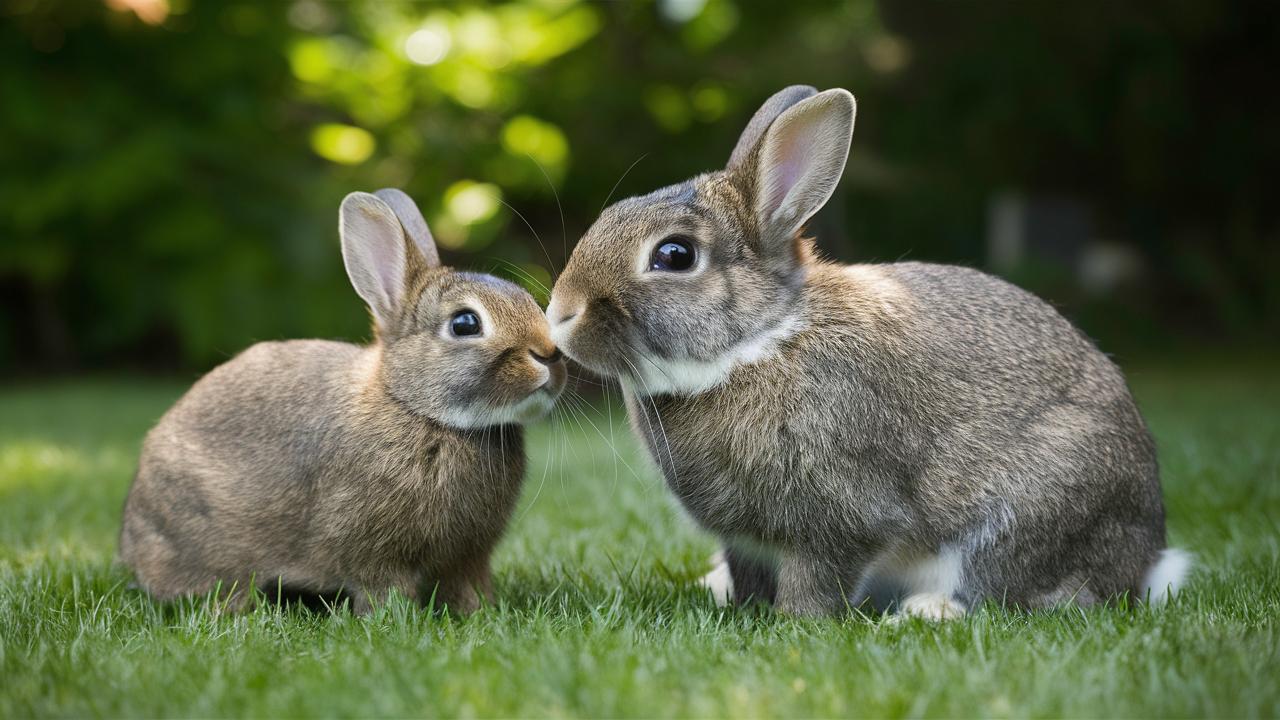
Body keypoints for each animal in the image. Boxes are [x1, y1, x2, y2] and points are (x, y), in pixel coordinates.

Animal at [119, 188, 566, 614]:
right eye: (465, 323)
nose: (550, 354)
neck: (412, 406)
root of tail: (131, 539)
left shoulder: (467, 557)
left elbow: (466, 587)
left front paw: (478, 612)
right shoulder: (372, 551)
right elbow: (384, 589)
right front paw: (395, 618)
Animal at [546, 85, 1189, 619]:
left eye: (675, 255)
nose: (560, 314)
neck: (760, 342)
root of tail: (1143, 557)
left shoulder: (841, 516)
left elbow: (820, 577)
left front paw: (794, 621)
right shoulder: (746, 541)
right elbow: (748, 568)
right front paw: (740, 601)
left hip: (1027, 512)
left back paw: (929, 612)